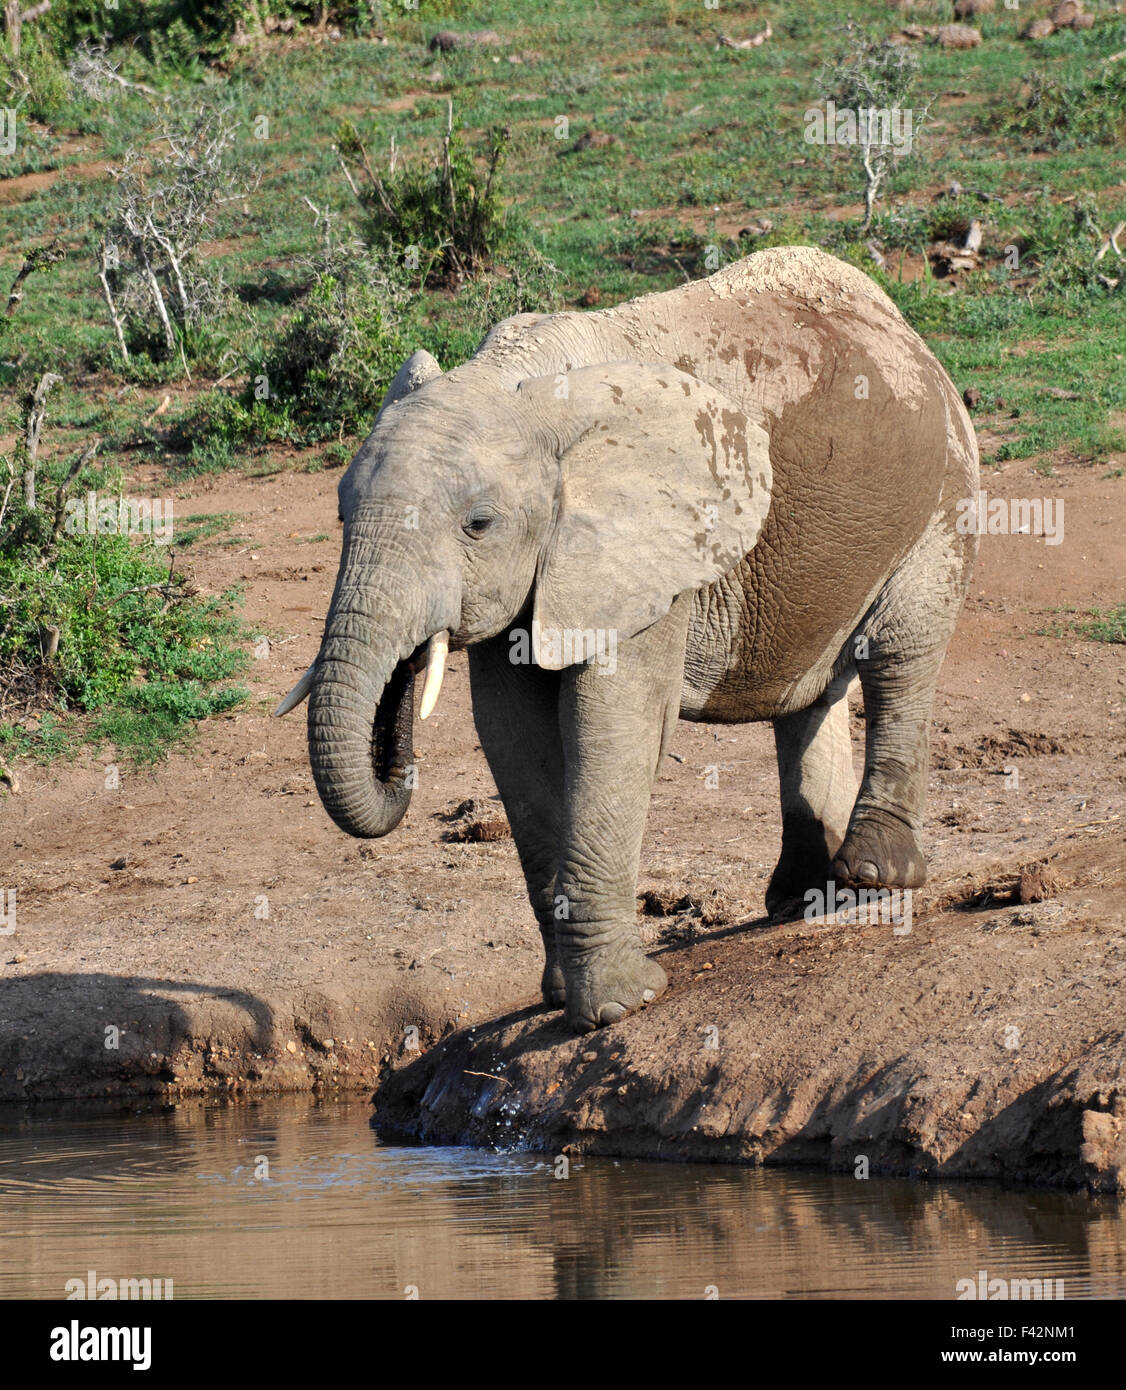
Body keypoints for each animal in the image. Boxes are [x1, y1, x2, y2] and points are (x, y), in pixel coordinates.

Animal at [276, 245, 979, 1034]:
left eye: (478, 525)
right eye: (341, 515)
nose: (396, 757)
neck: (530, 389)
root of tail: (900, 323)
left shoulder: (657, 546)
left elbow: (616, 722)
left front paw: (618, 1006)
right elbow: (510, 732)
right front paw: (563, 997)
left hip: (944, 490)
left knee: (899, 657)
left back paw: (871, 878)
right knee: (808, 697)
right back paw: (803, 900)